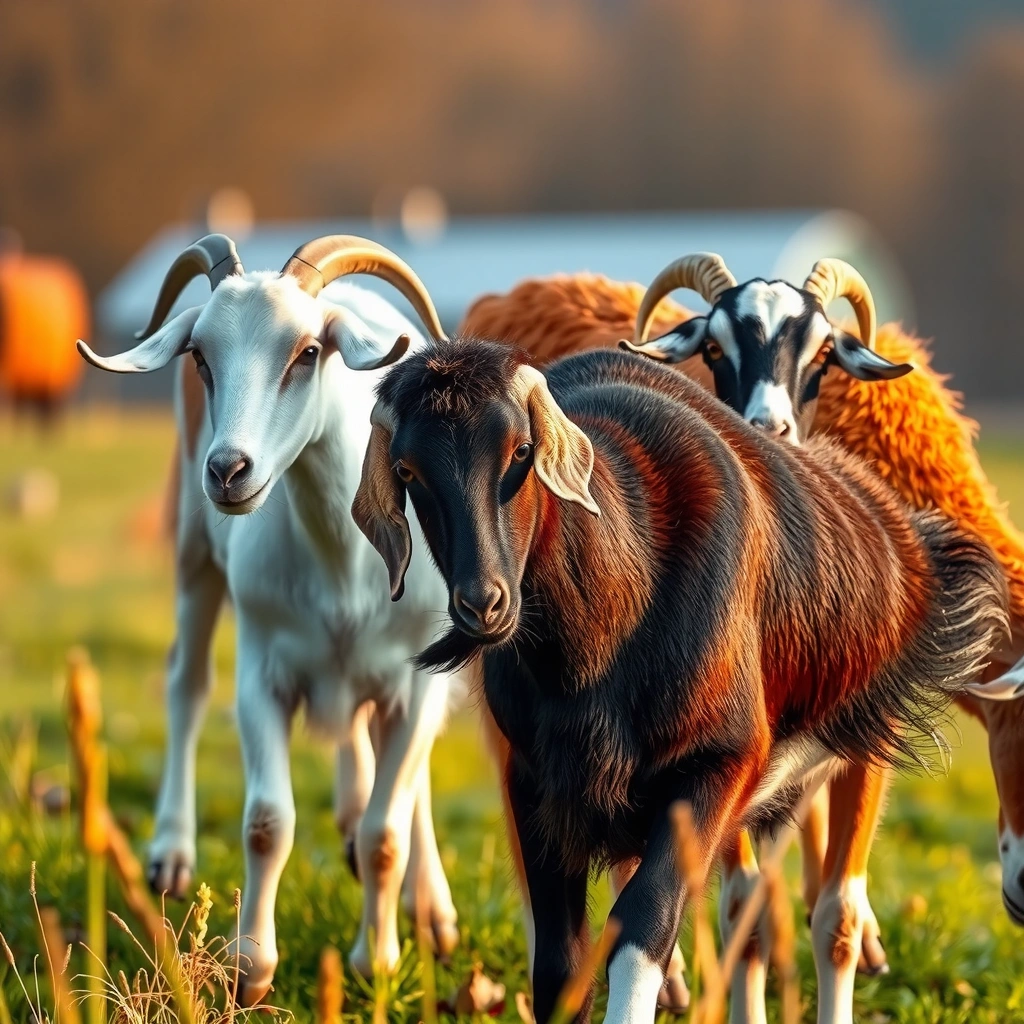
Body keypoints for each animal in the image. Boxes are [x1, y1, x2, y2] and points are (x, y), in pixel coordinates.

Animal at [78, 234, 460, 1003]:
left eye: (308, 352)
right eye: (201, 356)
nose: (228, 470)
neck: (344, 567)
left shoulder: (416, 679)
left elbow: (387, 830)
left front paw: (377, 963)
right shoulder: (263, 669)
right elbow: (265, 824)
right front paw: (251, 968)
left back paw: (425, 901)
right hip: (193, 548)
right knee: (186, 683)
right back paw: (171, 851)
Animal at [354, 338, 1008, 1024]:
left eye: (521, 452)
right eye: (408, 471)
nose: (483, 604)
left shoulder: (719, 765)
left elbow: (644, 925)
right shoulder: (536, 784)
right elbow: (560, 964)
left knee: (832, 916)